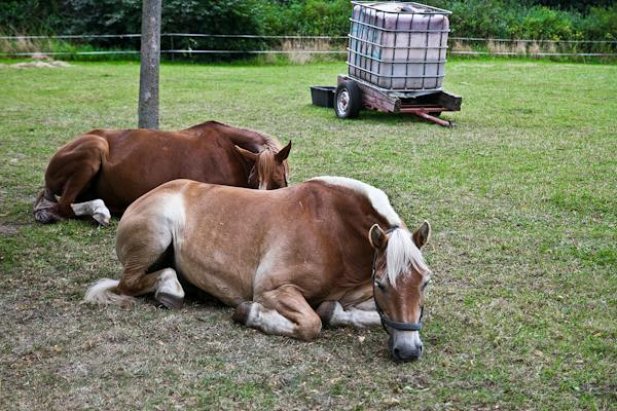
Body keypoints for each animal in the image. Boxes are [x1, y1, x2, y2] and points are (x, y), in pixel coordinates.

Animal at [33, 120, 292, 225]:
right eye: (254, 180)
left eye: (280, 183)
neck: (228, 152)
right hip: (93, 150)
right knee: (64, 206)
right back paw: (100, 212)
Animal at [85, 175, 434, 362]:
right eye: (382, 282)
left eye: (425, 282)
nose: (408, 351)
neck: (333, 230)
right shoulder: (272, 289)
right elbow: (311, 324)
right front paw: (250, 314)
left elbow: (349, 313)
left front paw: (333, 310)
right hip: (155, 235)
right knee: (129, 284)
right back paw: (169, 290)